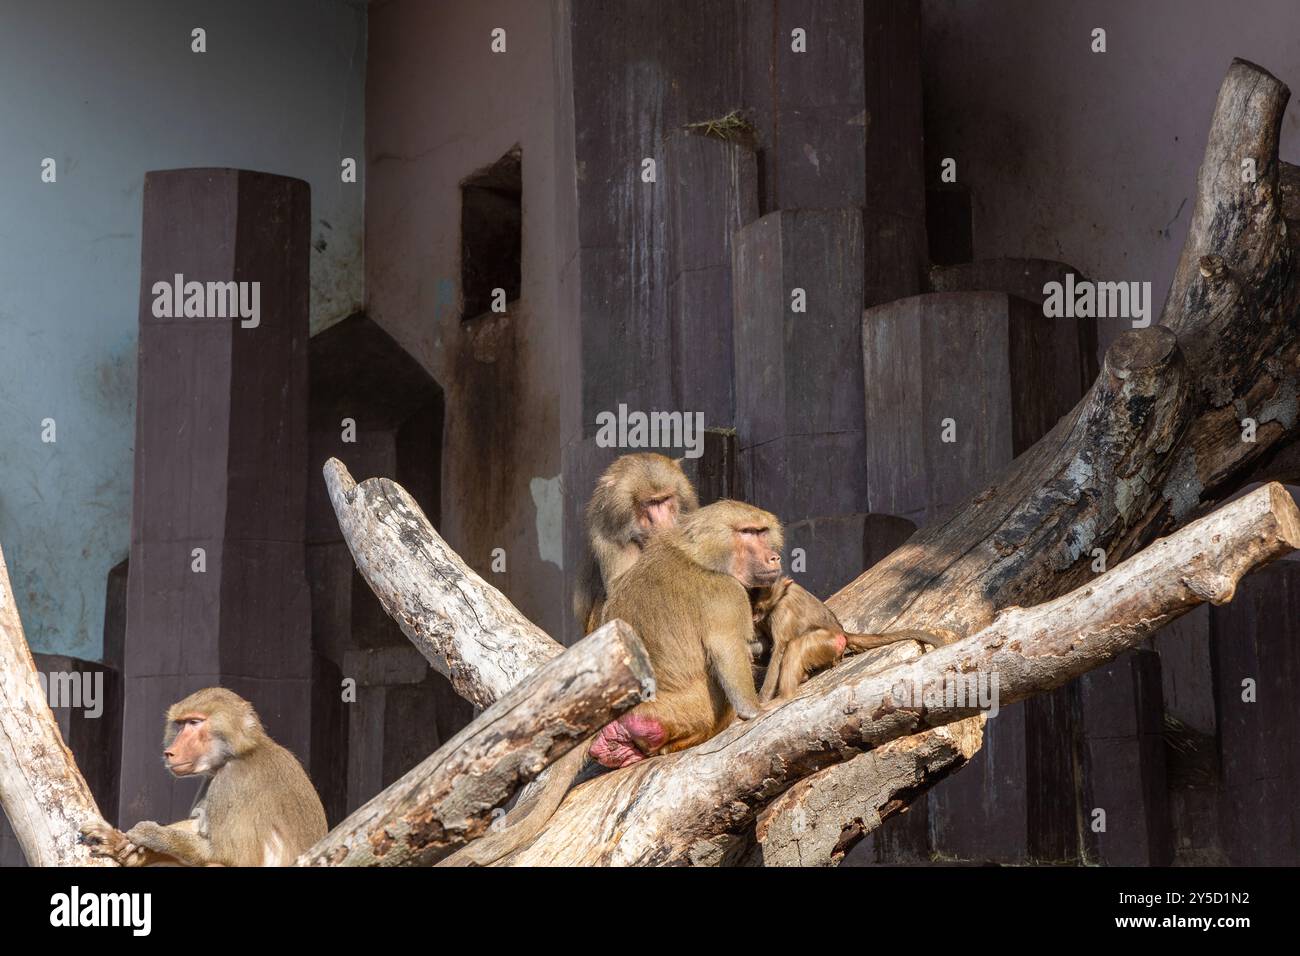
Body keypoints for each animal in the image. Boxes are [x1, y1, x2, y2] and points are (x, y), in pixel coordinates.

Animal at [80, 687, 327, 867]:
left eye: (194, 723)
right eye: (180, 725)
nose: (170, 752)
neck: (240, 753)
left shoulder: (233, 780)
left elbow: (229, 855)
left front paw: (151, 835)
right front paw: (126, 848)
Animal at [440, 500, 781, 866]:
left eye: (763, 532)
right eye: (748, 532)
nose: (775, 558)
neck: (696, 552)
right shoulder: (726, 595)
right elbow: (730, 657)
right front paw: (757, 709)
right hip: (681, 712)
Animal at [750, 577, 956, 700]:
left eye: (758, 606)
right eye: (752, 609)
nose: (753, 617)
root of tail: (843, 632)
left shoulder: (781, 609)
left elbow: (780, 648)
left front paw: (761, 702)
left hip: (829, 644)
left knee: (795, 645)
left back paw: (785, 696)